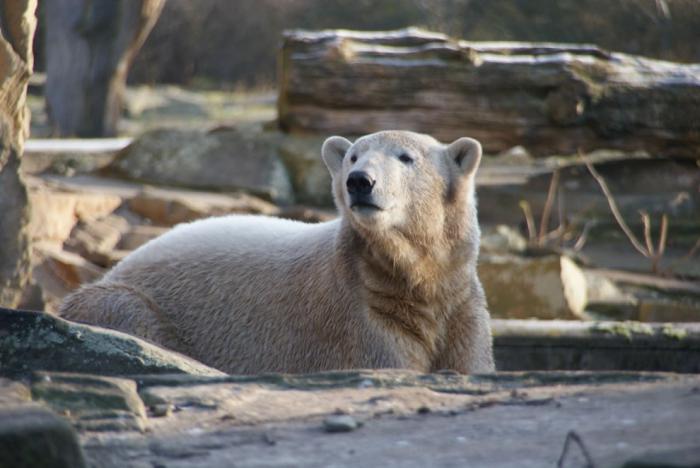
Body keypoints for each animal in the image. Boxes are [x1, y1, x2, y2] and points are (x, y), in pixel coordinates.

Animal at [61, 131, 498, 372]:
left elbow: (470, 363)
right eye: (353, 156)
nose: (360, 181)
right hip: (124, 301)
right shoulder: (359, 315)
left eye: (406, 157)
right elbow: (388, 361)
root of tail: (117, 267)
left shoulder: (461, 305)